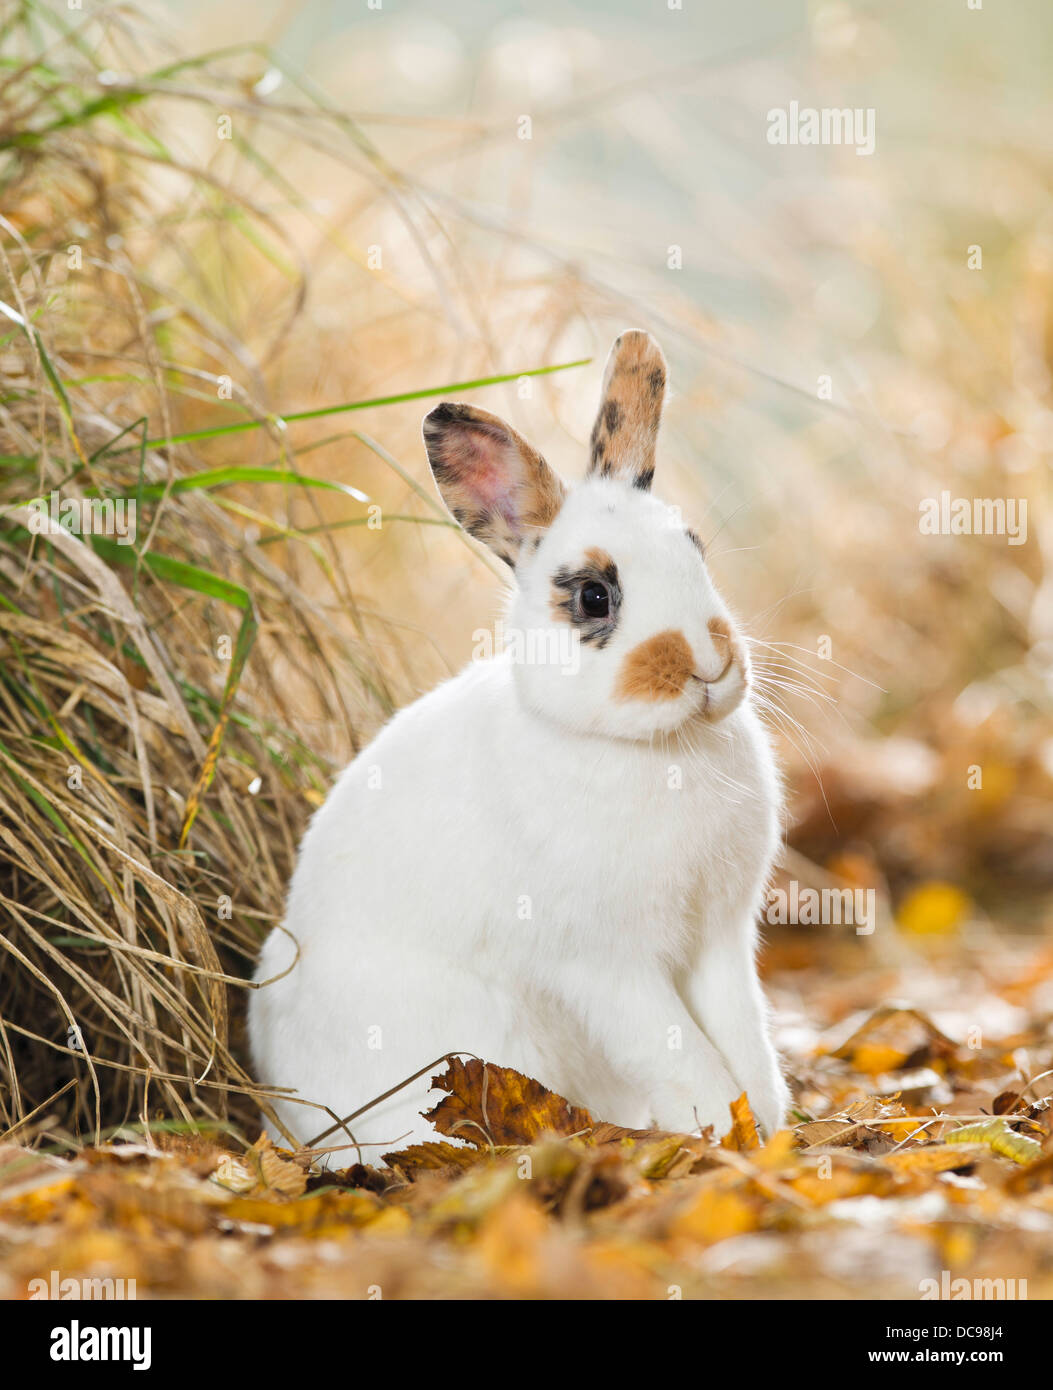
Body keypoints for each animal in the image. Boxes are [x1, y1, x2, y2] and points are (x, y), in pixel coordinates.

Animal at [249, 330, 789, 1159]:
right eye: (594, 597)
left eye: (695, 550)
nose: (707, 664)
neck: (657, 748)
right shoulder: (606, 967)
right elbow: (684, 1054)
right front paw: (725, 1133)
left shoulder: (718, 943)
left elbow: (744, 1039)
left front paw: (767, 1126)